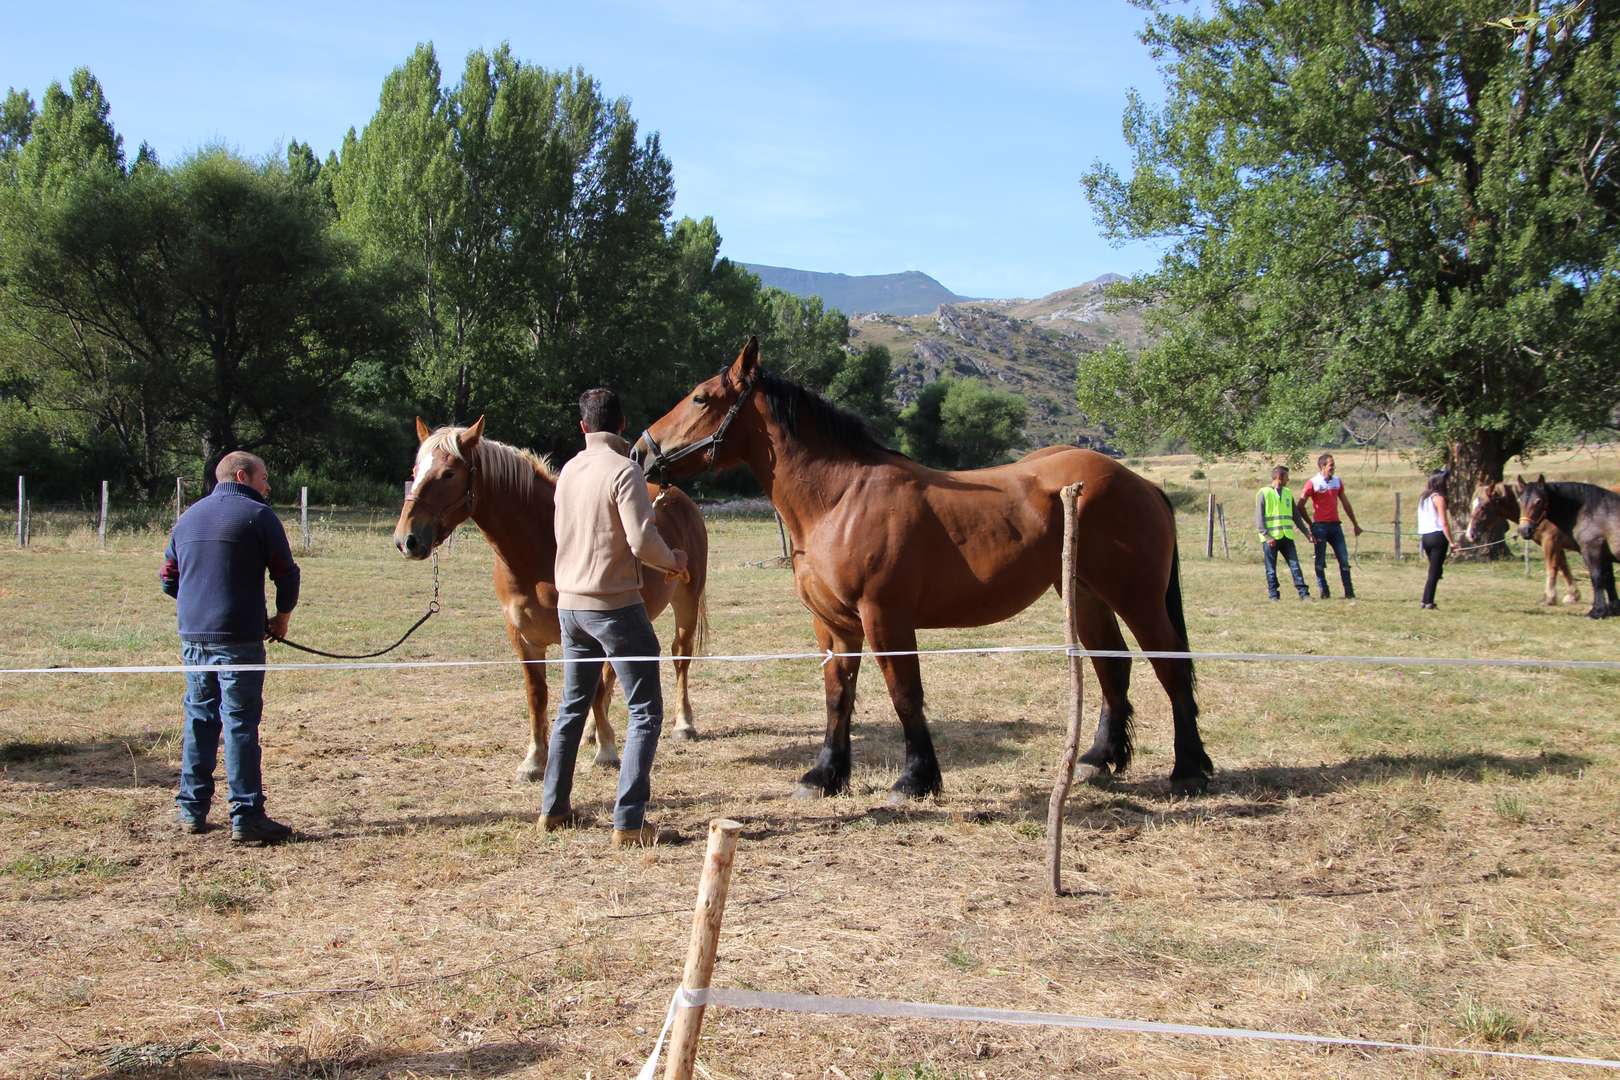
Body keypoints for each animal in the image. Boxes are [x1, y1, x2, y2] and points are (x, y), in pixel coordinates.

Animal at [393, 417, 710, 780]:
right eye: (415, 470)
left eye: (448, 474)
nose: (407, 540)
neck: (544, 544)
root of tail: (676, 497)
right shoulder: (524, 639)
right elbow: (538, 696)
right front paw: (534, 760)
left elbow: (593, 690)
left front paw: (607, 750)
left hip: (685, 600)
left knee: (679, 655)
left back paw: (683, 724)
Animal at [632, 337, 1211, 801]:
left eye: (701, 397)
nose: (641, 452)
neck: (841, 499)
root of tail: (1138, 482)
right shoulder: (834, 625)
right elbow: (838, 696)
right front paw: (825, 776)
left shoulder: (885, 618)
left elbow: (904, 694)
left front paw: (916, 778)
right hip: (1086, 595)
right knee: (1112, 666)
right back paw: (1100, 759)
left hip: (1136, 597)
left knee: (1170, 667)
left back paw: (1189, 769)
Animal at [1515, 474, 1620, 620]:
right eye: (1520, 501)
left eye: (1539, 501)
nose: (1525, 530)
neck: (1589, 511)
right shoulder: (1605, 555)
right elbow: (1609, 580)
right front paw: (1613, 610)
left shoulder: (1592, 550)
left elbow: (1597, 578)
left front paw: (1596, 611)